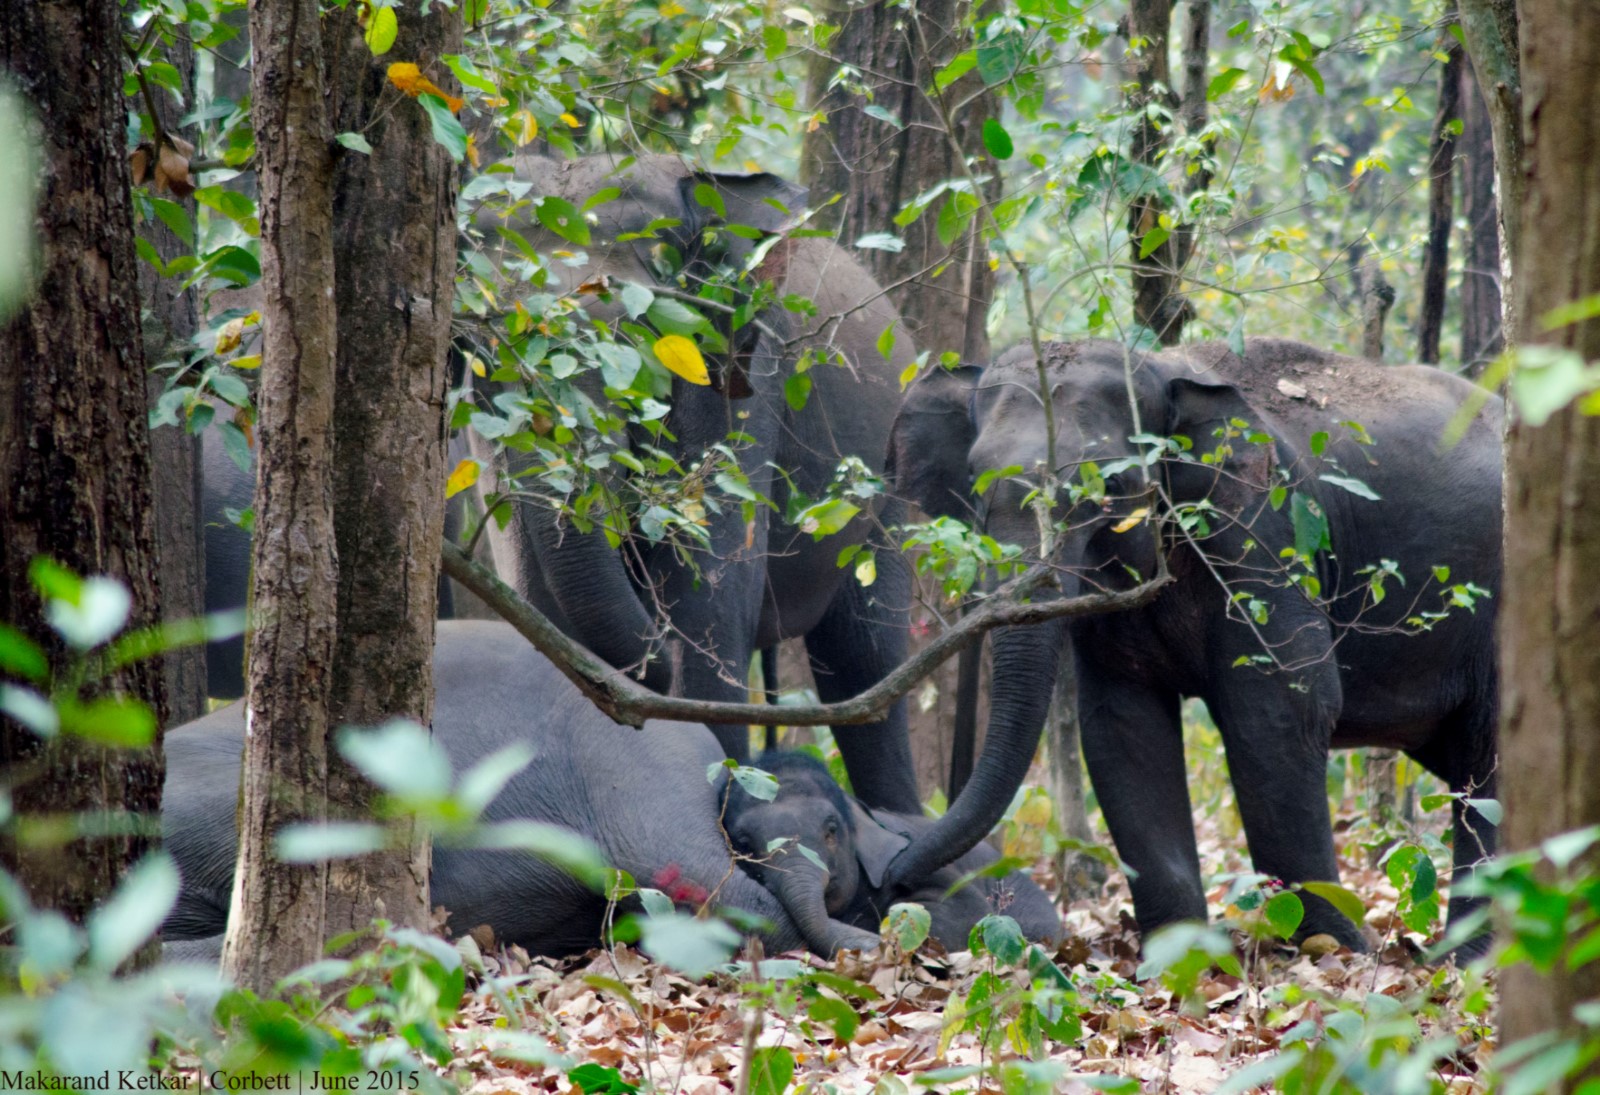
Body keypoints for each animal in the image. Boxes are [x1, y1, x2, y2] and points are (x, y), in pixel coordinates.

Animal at [461, 151, 920, 814]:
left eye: (631, 335)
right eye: (472, 344)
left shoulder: (747, 369)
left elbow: (707, 600)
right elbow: (538, 604)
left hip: (887, 488)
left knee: (865, 658)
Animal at [884, 337, 1502, 953]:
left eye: (1110, 485)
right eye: (972, 477)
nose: (894, 879)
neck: (1161, 368)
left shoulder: (1263, 530)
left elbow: (1281, 710)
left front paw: (1331, 949)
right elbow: (1123, 728)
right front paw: (1178, 957)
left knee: (1487, 754)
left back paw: (1468, 956)